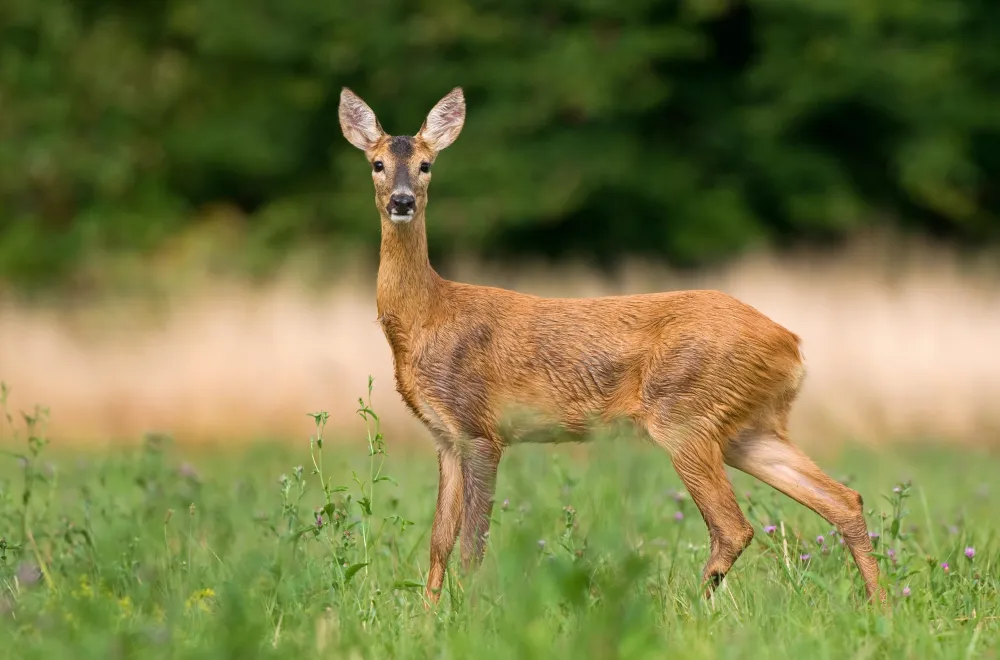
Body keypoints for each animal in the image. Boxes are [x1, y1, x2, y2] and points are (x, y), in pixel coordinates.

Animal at [337, 86, 886, 608]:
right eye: (377, 163)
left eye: (426, 164)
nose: (402, 202)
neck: (428, 316)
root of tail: (791, 345)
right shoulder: (444, 437)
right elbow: (438, 542)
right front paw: (429, 619)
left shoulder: (480, 429)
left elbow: (472, 546)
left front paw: (468, 617)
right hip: (747, 428)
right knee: (844, 499)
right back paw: (880, 606)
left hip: (684, 413)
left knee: (734, 526)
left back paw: (685, 609)